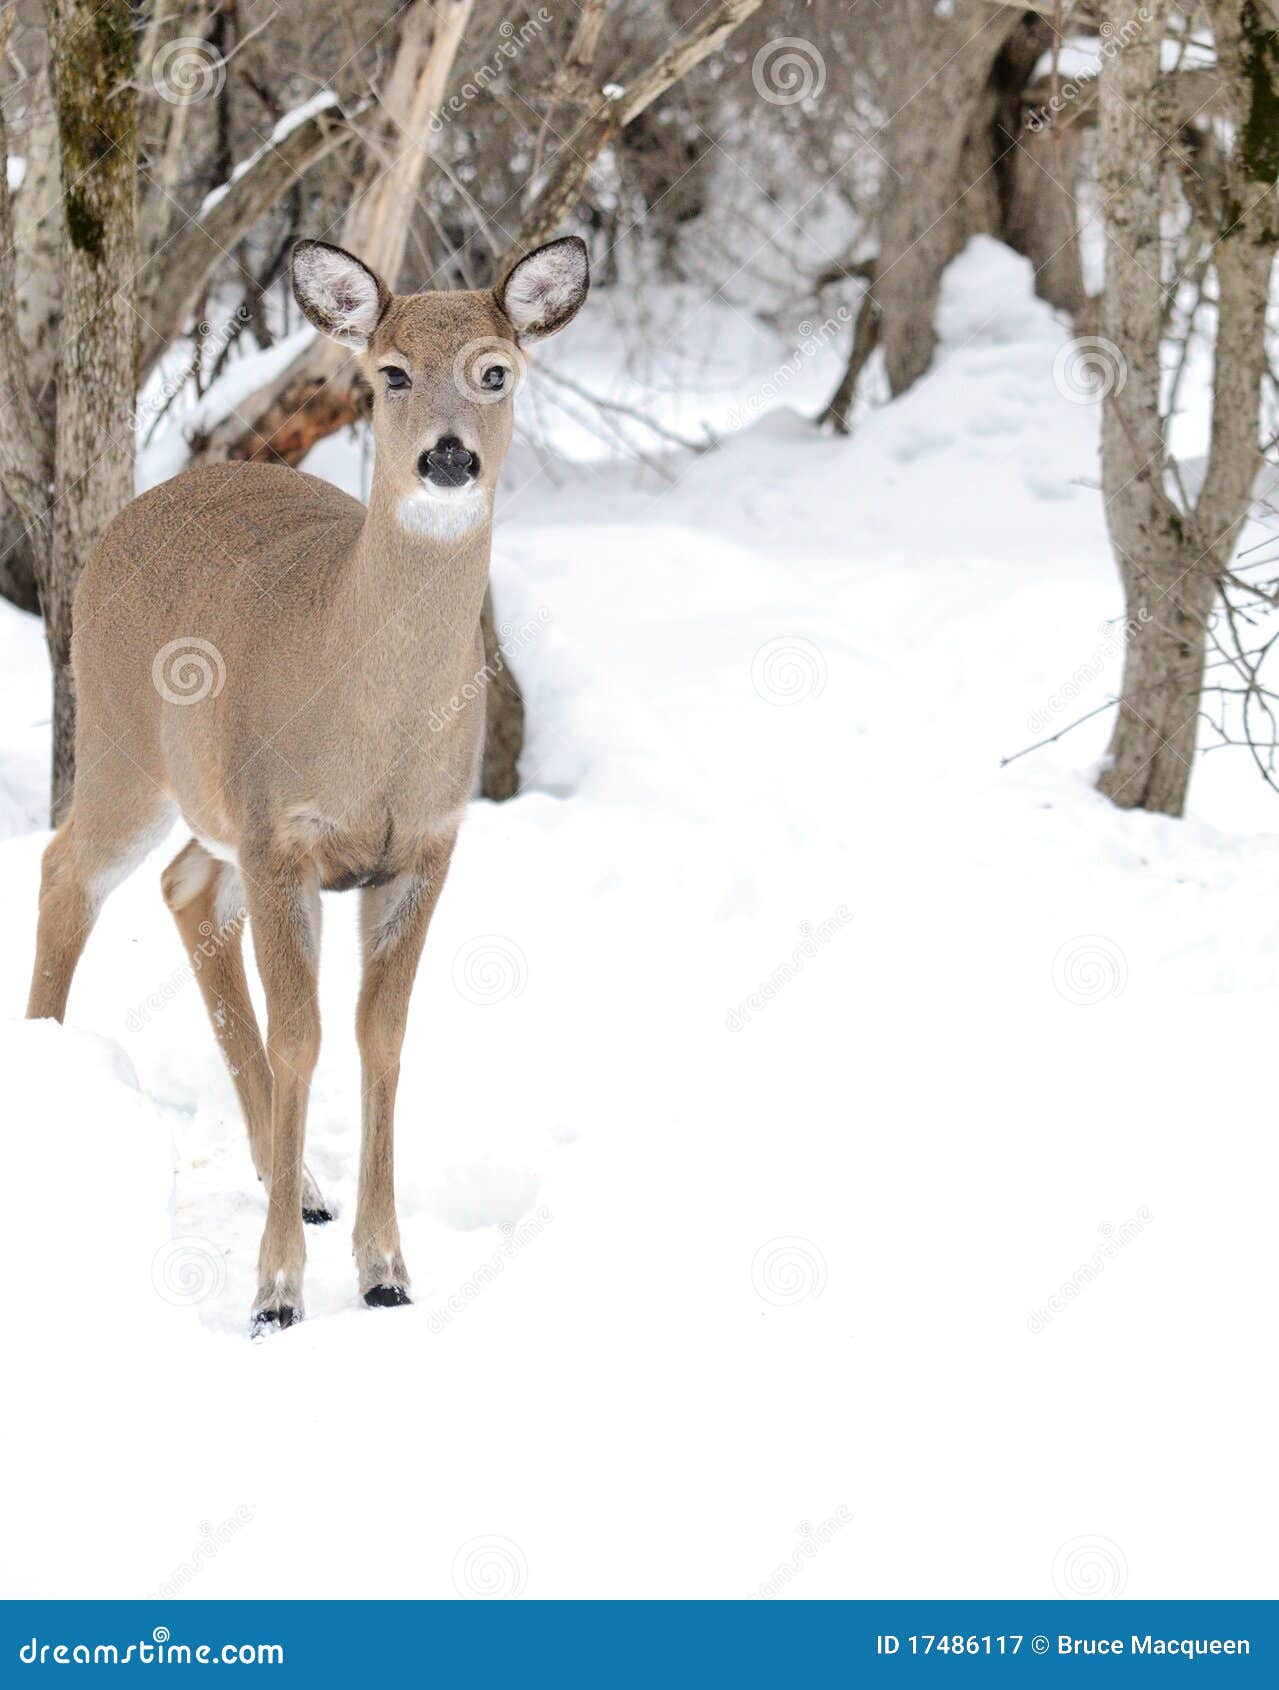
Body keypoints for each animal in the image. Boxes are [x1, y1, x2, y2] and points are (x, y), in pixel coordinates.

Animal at [25, 235, 589, 1332]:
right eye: (392, 372)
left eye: (496, 370)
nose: (447, 456)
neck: (376, 722)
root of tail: (130, 513)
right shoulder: (283, 834)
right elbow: (303, 1037)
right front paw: (276, 1290)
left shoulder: (422, 844)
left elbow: (382, 1037)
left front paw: (385, 1270)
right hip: (124, 745)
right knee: (66, 868)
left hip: (208, 800)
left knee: (184, 890)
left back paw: (311, 1188)